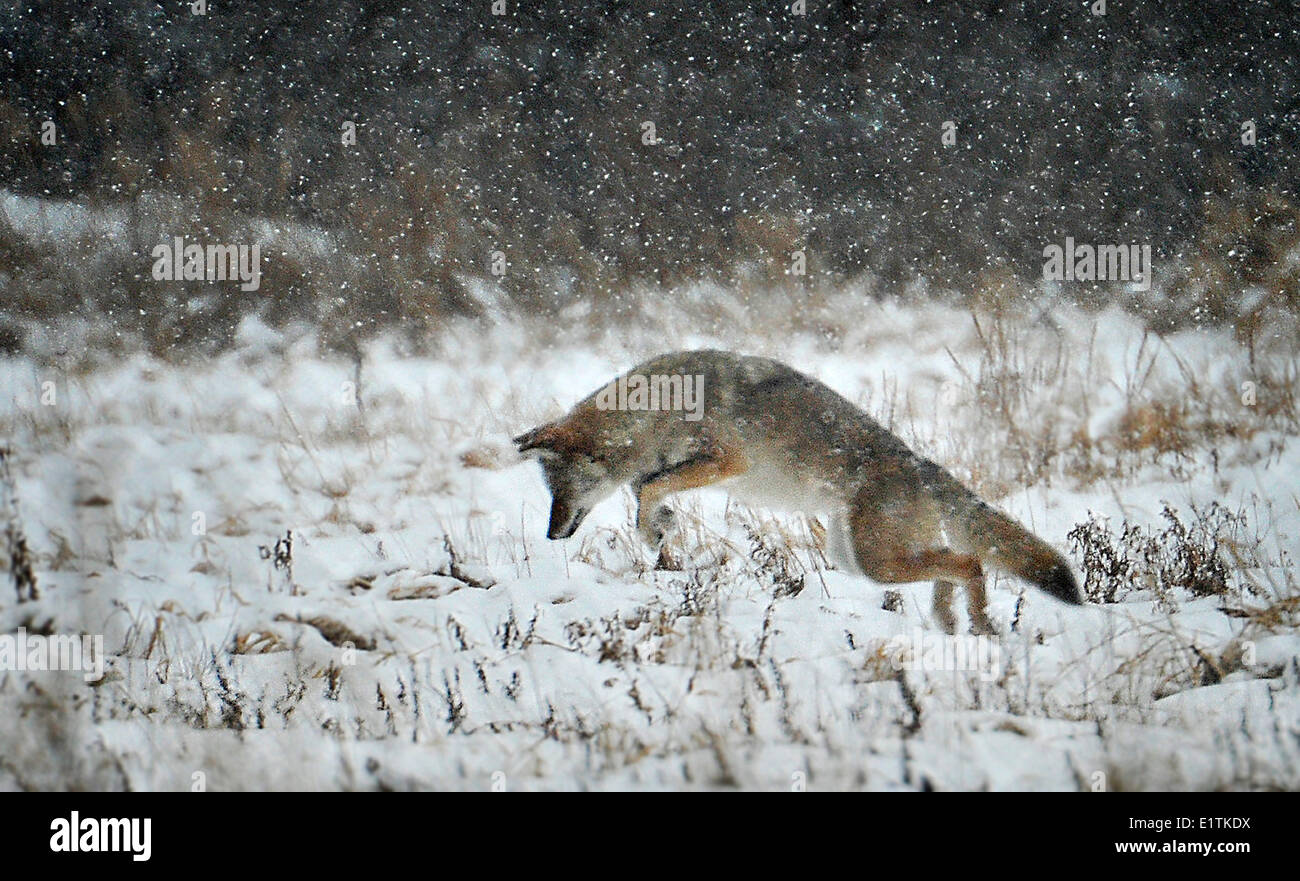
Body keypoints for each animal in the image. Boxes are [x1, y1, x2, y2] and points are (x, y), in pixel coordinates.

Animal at [515, 350, 1083, 634]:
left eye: (557, 490)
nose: (551, 536)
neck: (655, 412)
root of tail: (924, 466)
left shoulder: (726, 461)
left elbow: (651, 485)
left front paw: (654, 530)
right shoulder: (673, 469)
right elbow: (645, 490)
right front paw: (659, 529)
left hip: (873, 562)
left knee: (969, 562)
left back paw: (978, 624)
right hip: (859, 559)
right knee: (958, 562)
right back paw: (951, 625)